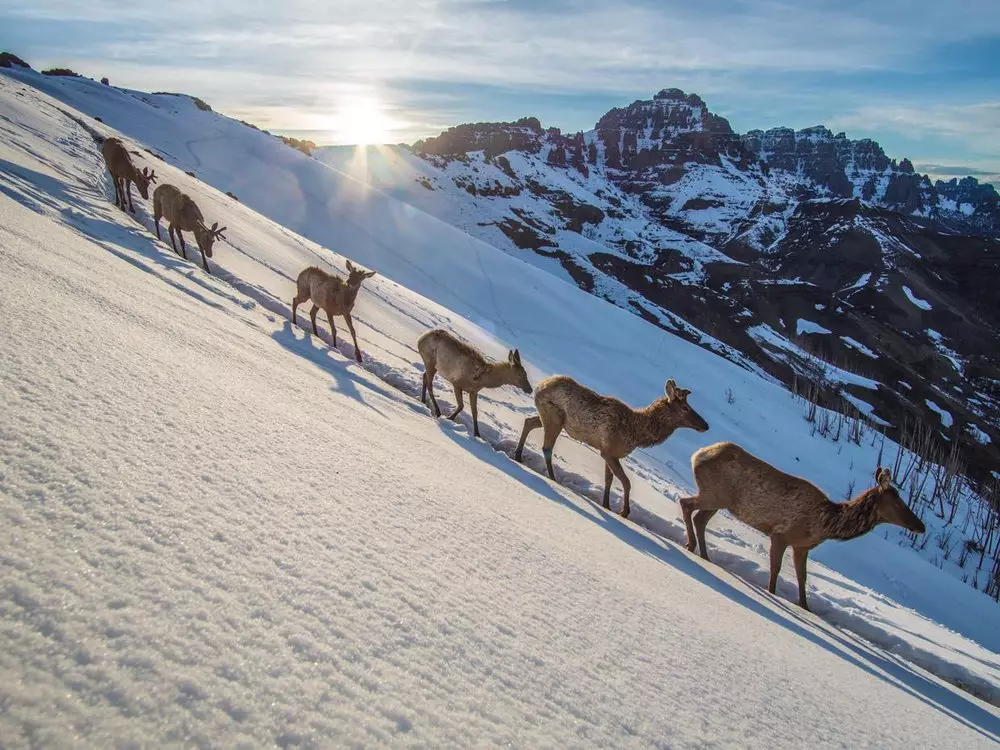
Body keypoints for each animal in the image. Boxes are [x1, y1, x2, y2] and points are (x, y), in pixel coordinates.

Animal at [516, 378, 712, 520]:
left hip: (549, 418)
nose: (706, 425)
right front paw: (624, 512)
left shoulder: (607, 453)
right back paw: (552, 477)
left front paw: (607, 505)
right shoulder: (609, 451)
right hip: (555, 418)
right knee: (546, 447)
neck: (637, 433)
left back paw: (518, 455)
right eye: (685, 407)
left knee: (528, 422)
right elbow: (626, 482)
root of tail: (539, 386)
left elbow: (608, 480)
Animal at [680, 446, 928, 612]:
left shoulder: (802, 547)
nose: (921, 526)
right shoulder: (780, 534)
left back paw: (704, 555)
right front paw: (772, 593)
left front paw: (805, 606)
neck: (825, 524)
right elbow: (776, 569)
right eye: (898, 503)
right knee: (686, 504)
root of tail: (697, 455)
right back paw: (691, 545)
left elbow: (803, 577)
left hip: (720, 500)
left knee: (700, 519)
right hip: (714, 494)